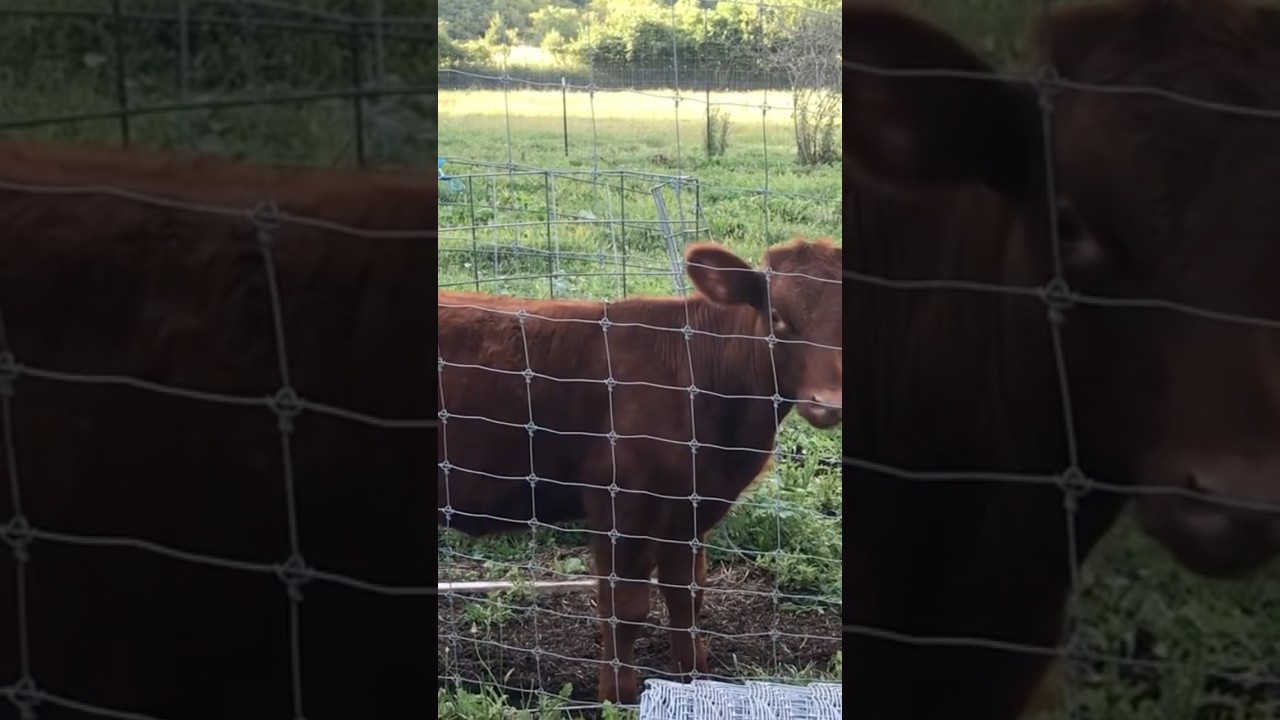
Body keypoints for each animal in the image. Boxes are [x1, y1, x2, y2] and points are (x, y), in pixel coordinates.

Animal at [437, 237, 842, 705]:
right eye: (777, 317)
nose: (828, 403)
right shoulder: (623, 505)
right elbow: (625, 608)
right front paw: (619, 696)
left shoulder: (693, 508)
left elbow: (687, 595)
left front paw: (694, 677)